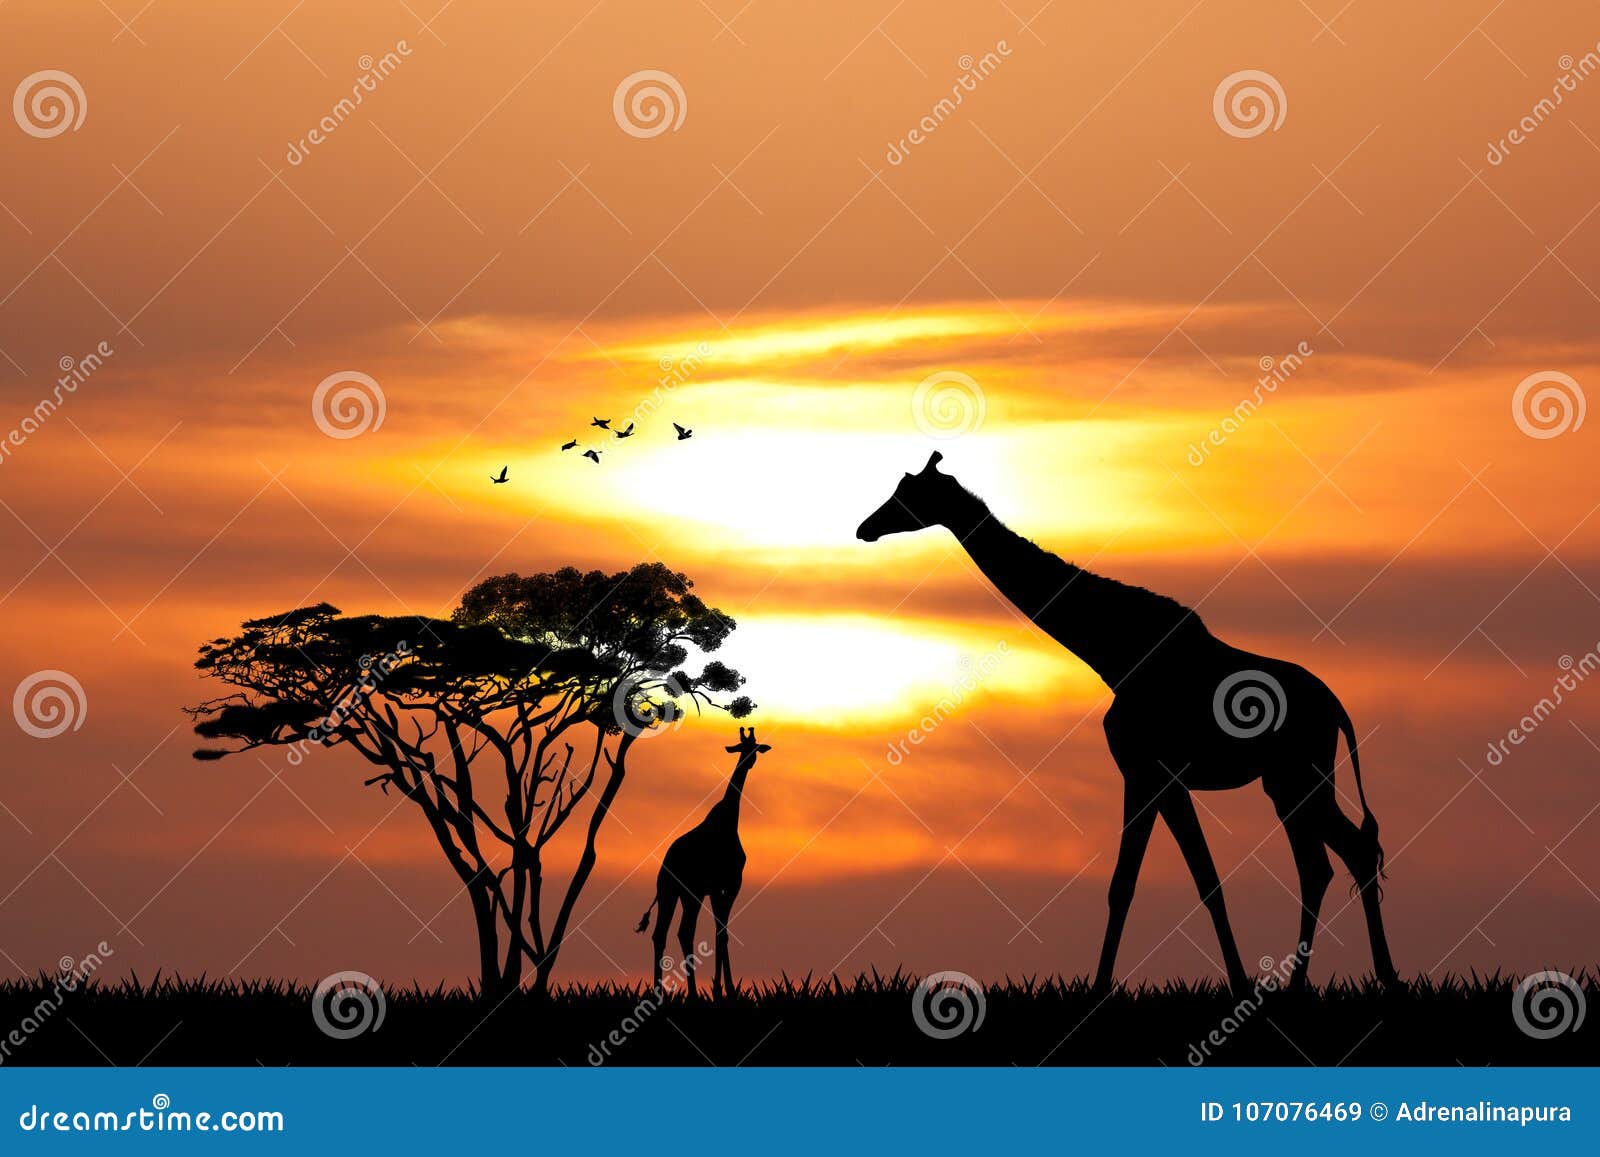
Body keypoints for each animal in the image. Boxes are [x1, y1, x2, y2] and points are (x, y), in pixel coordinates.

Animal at [635, 727, 771, 997]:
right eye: (744, 747)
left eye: (755, 746)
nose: (749, 761)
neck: (729, 821)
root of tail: (667, 865)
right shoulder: (728, 885)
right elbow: (721, 932)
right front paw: (727, 988)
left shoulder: (719, 889)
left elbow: (720, 932)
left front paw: (721, 988)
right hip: (689, 893)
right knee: (684, 932)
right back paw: (692, 993)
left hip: (671, 892)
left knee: (661, 934)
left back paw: (660, 991)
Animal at [856, 451, 1398, 994]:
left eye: (909, 494)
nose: (866, 528)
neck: (1115, 652)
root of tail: (1337, 709)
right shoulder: (1158, 778)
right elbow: (1174, 882)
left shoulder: (1146, 771)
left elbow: (1147, 883)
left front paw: (1107, 989)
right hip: (1292, 781)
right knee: (1335, 859)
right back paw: (1340, 980)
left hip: (1295, 778)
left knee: (1336, 857)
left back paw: (1358, 979)